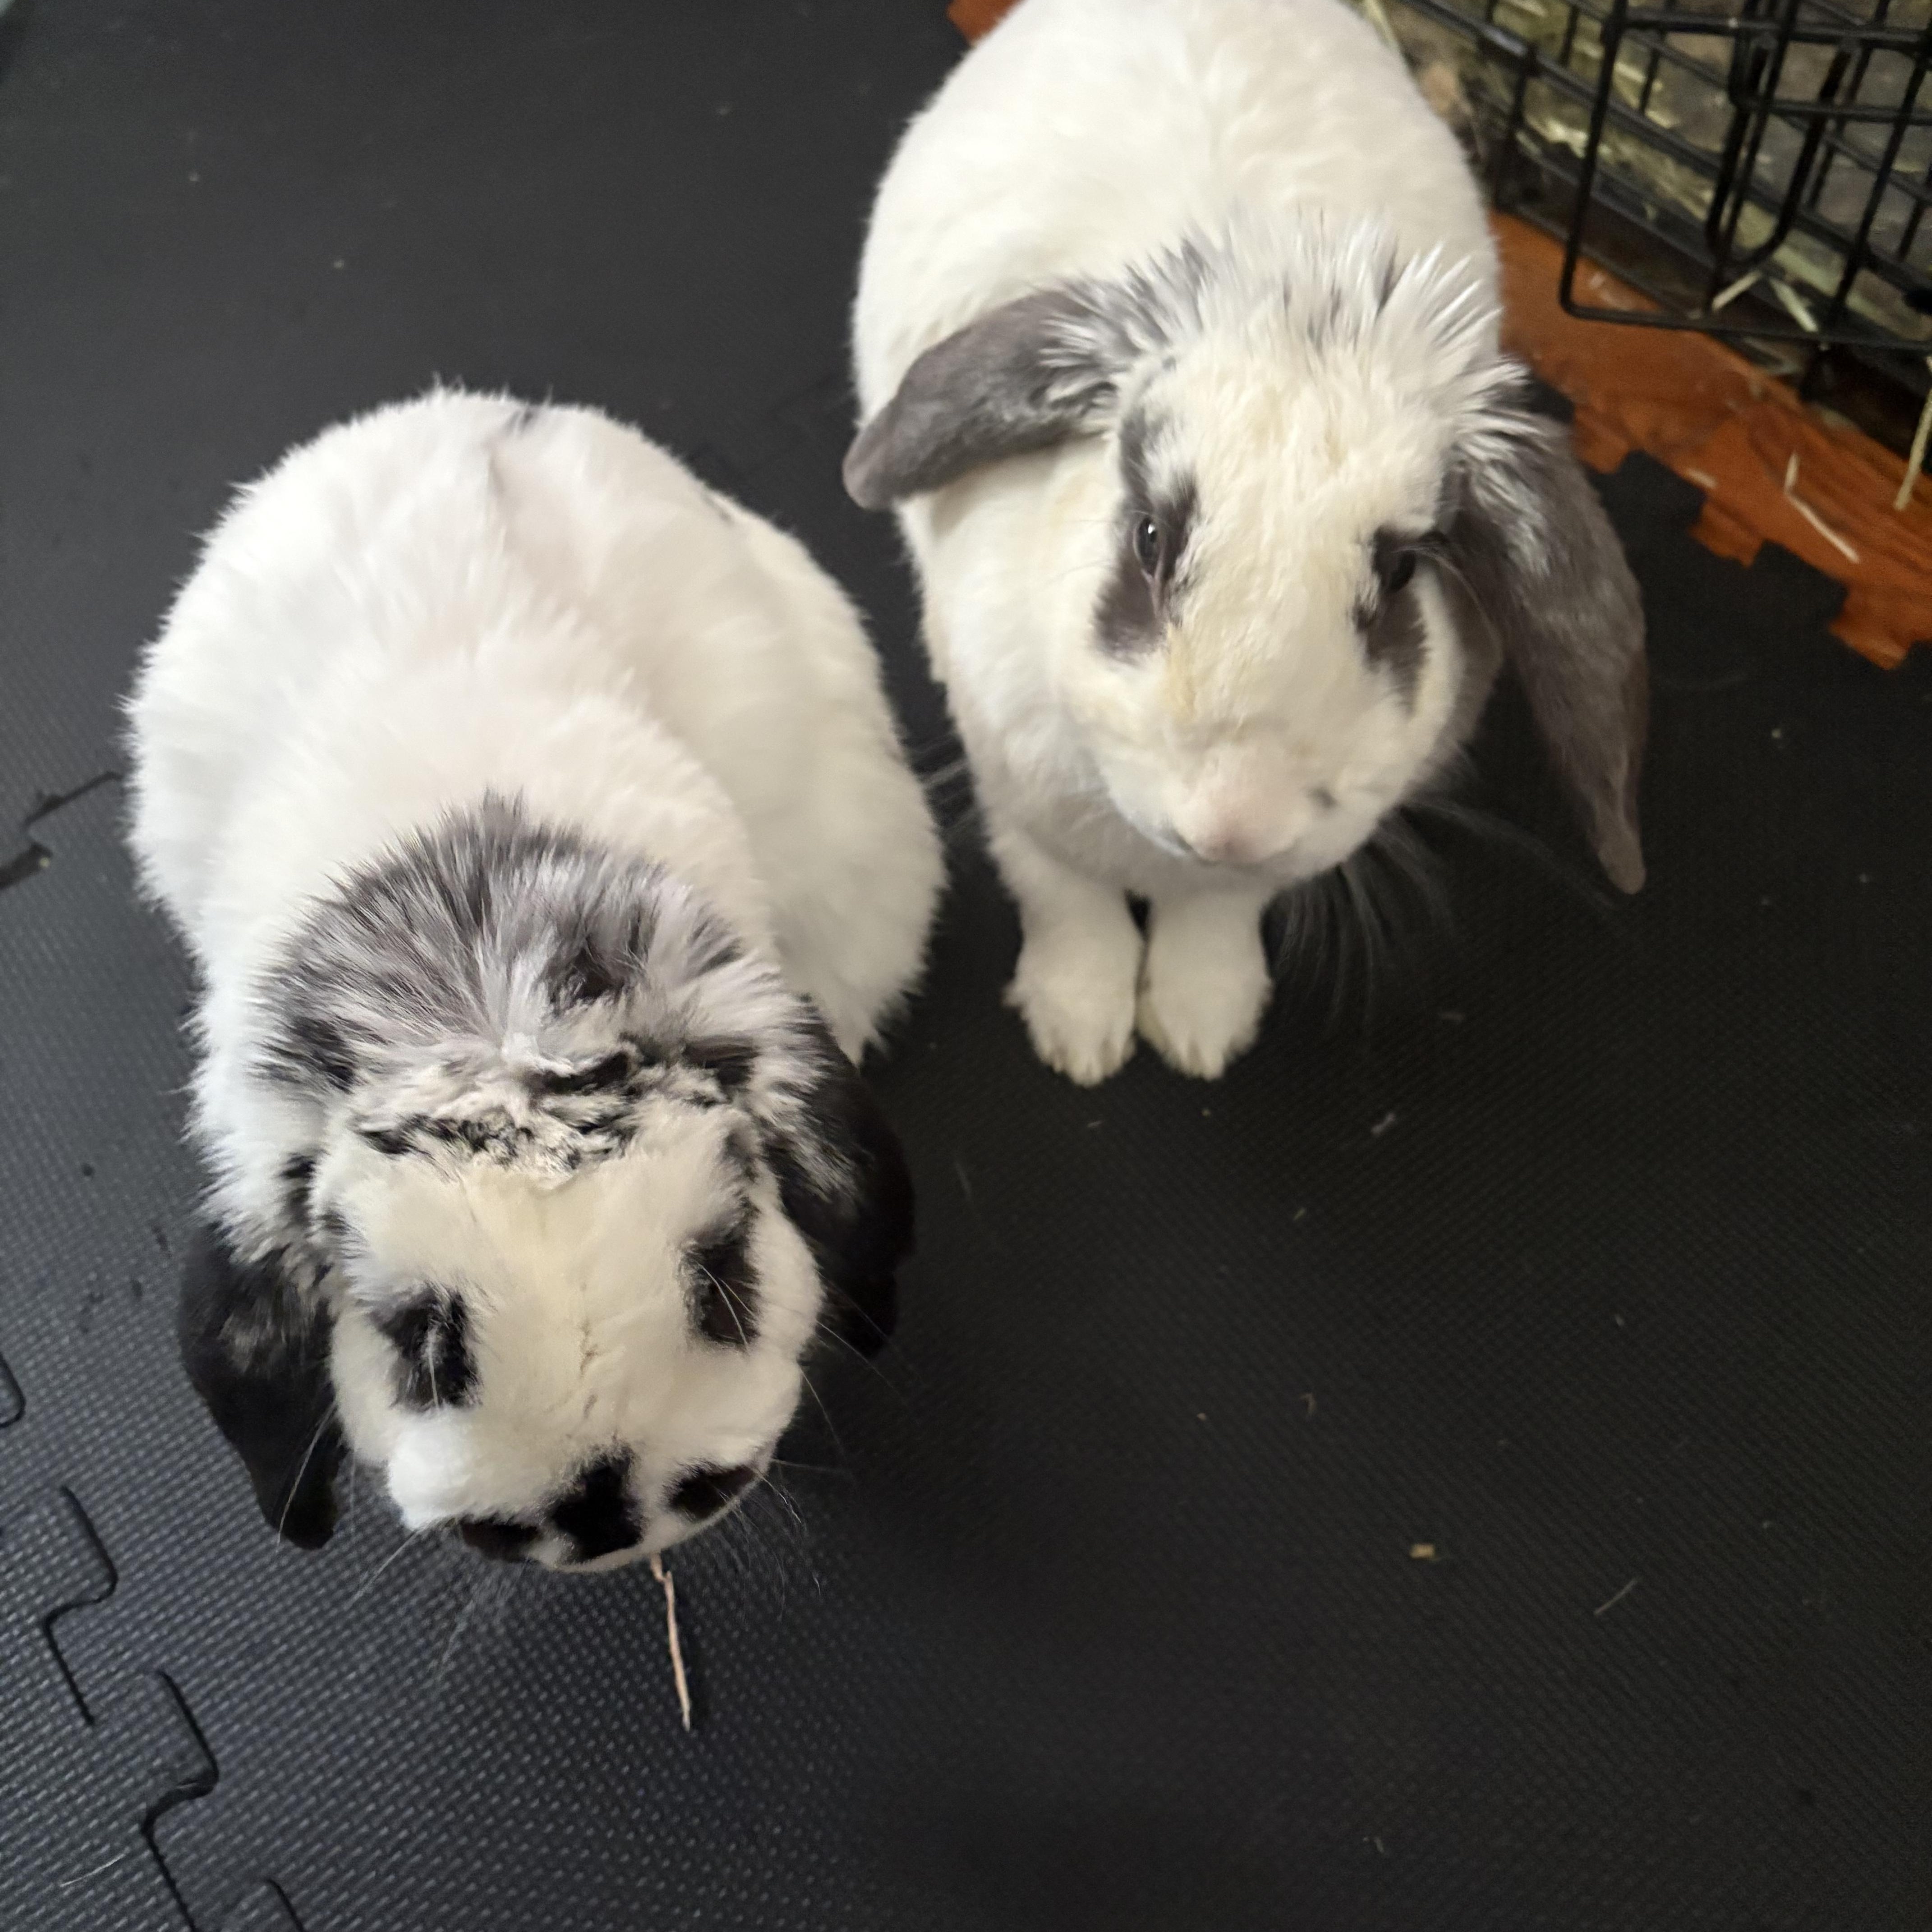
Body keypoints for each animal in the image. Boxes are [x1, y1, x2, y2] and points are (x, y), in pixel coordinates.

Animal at [845, 0, 1647, 1085]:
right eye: (1148, 537)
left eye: (1402, 571)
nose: (1233, 820)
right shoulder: (1017, 798)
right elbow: (1067, 902)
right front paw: (1080, 1035)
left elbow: (1221, 915)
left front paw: (1200, 1027)